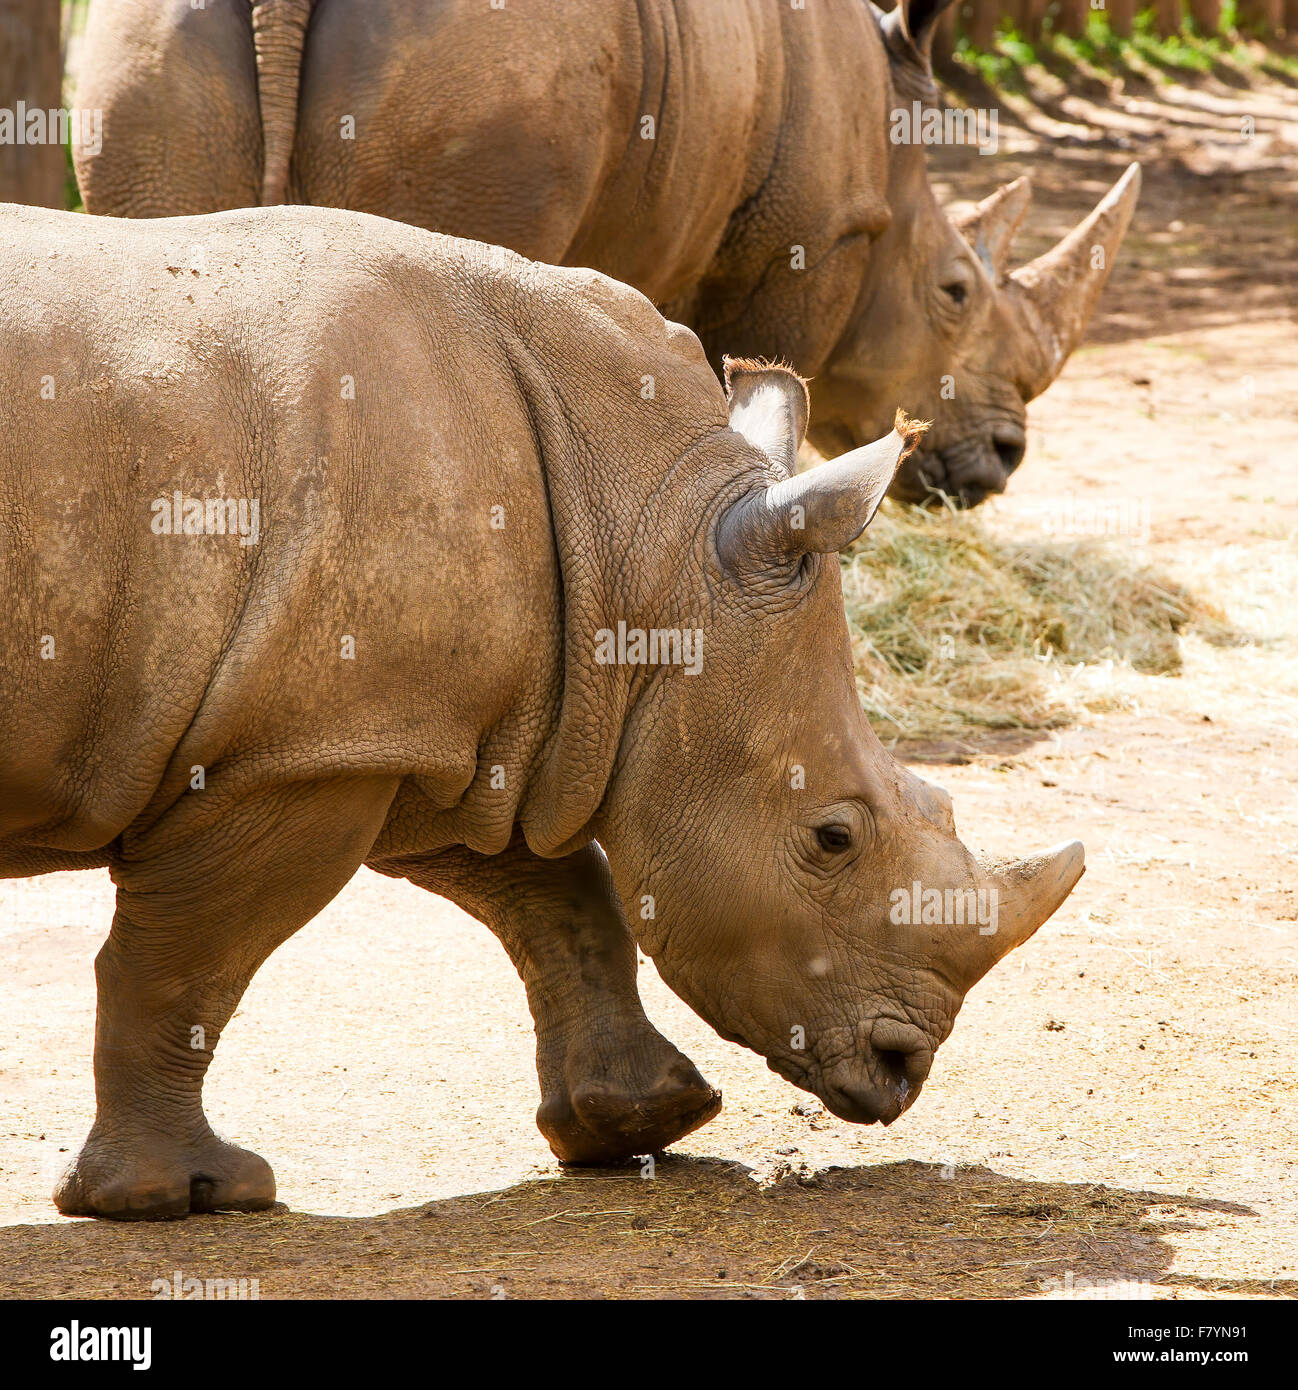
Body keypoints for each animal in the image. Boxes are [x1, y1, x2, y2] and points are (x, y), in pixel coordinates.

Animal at [0, 202, 1084, 1219]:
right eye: (831, 839)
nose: (903, 1069)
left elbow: (556, 893)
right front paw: (184, 1196)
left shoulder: (422, 730)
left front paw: (643, 1122)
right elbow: (187, 966)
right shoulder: (305, 752)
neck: (652, 545)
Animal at [73, 0, 1140, 507]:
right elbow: (769, 395)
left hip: (145, 47)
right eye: (956, 291)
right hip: (489, 67)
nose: (1003, 460)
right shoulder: (814, 236)